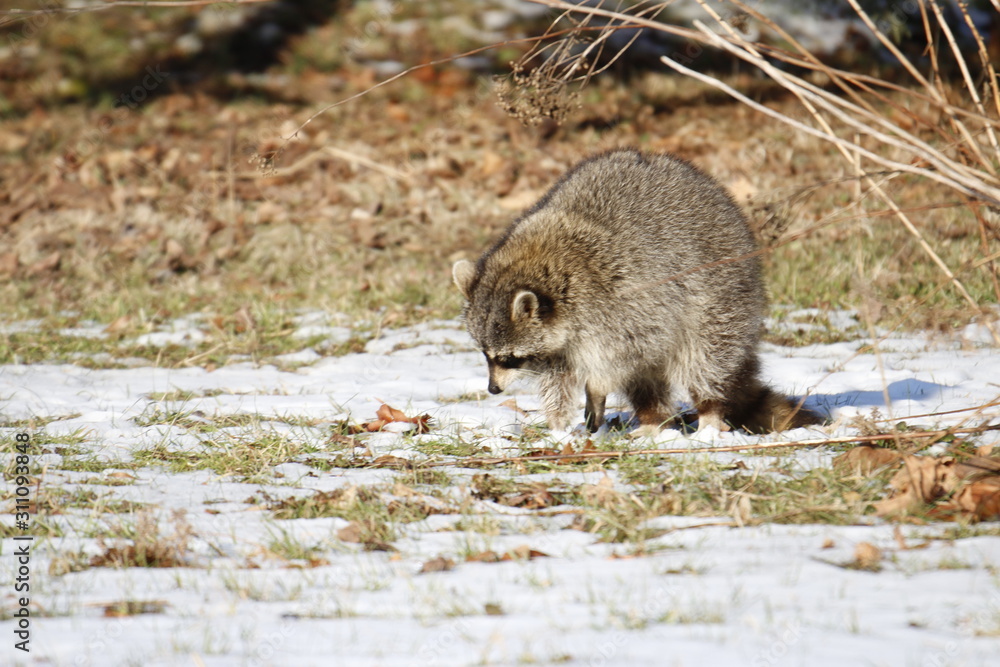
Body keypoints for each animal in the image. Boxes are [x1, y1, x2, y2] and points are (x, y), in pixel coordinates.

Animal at [452, 148, 820, 434]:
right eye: (486, 355)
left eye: (508, 359)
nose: (493, 389)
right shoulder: (556, 346)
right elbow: (559, 380)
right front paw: (558, 424)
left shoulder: (627, 301)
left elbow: (627, 354)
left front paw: (595, 388)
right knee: (645, 381)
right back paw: (652, 418)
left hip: (721, 291)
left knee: (706, 358)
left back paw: (709, 412)